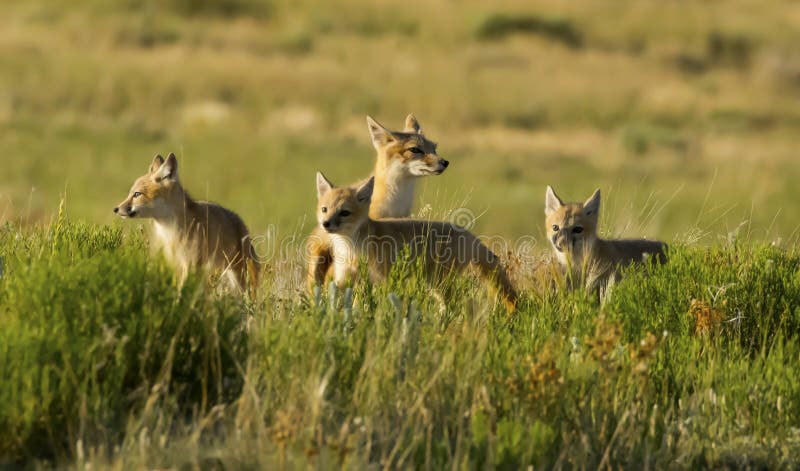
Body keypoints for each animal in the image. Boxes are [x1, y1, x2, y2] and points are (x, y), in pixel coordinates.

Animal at [114, 153, 259, 292]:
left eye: (137, 194)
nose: (115, 209)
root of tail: (240, 221)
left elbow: (183, 290)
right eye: (130, 193)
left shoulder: (190, 263)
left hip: (237, 277)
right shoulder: (172, 263)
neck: (169, 231)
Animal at [314, 172, 517, 312]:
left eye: (344, 212)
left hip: (438, 283)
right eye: (325, 209)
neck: (350, 249)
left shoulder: (381, 280)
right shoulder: (344, 278)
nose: (325, 224)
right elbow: (332, 296)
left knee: (458, 306)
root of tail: (468, 233)